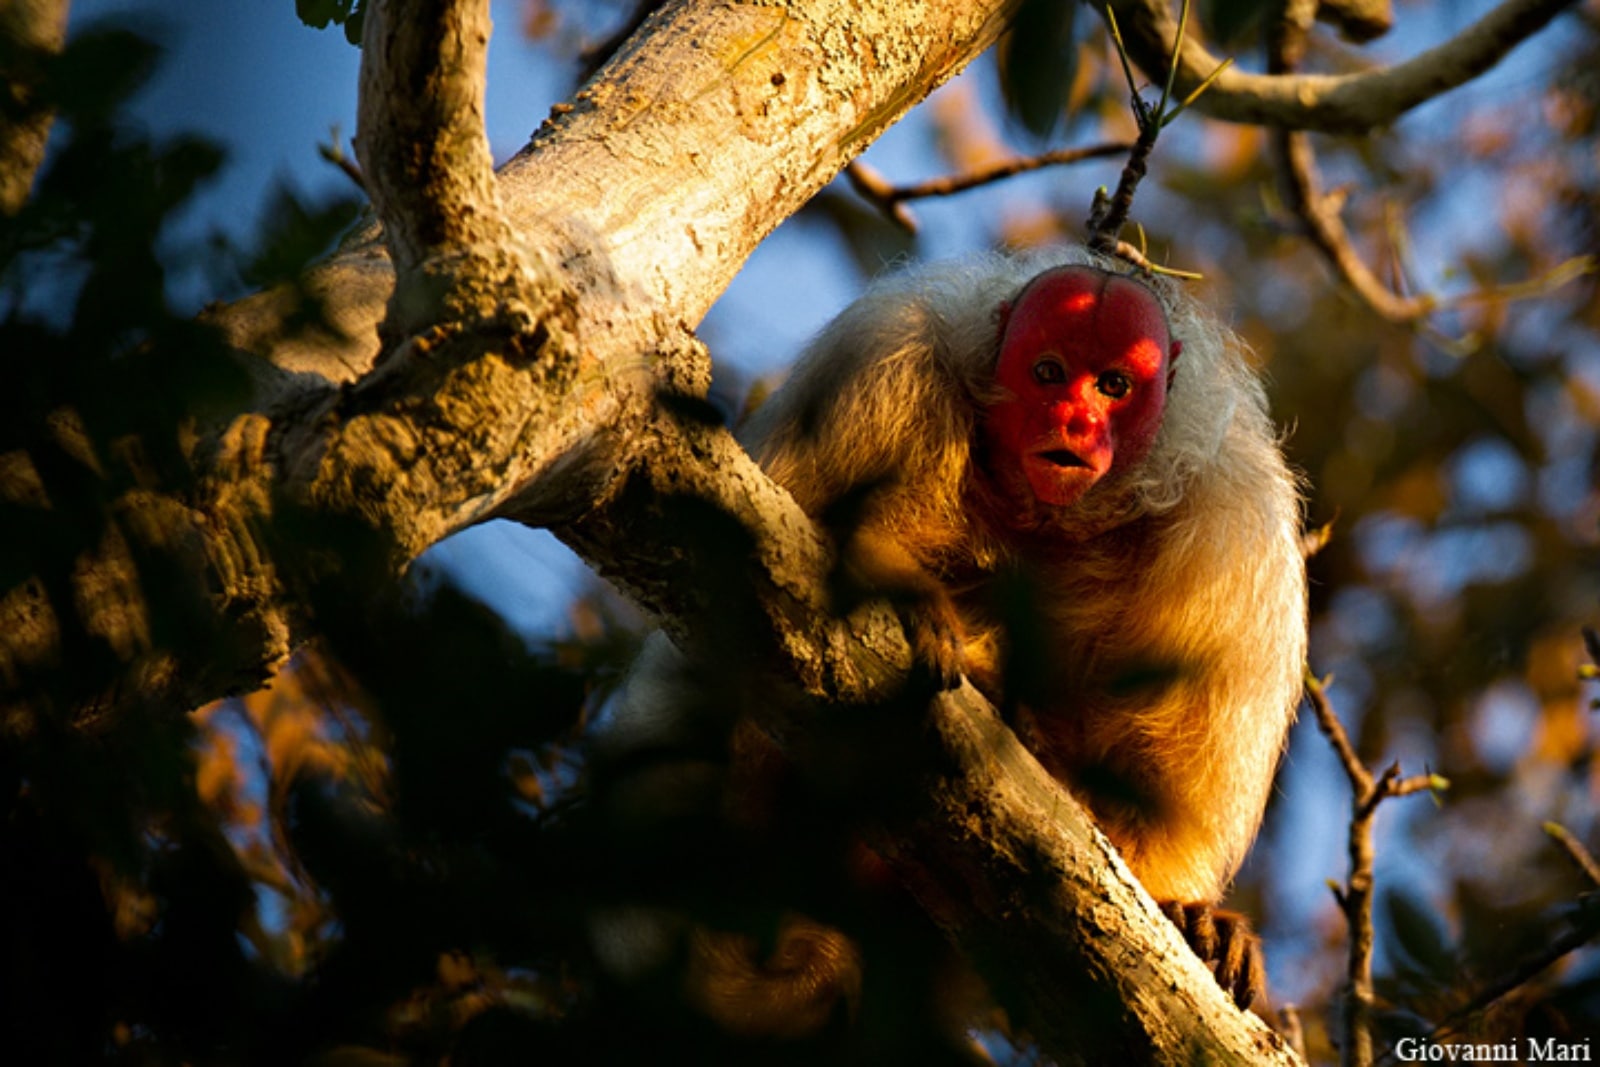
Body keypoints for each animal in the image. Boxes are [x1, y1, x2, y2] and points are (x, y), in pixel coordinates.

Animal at [595, 249, 1306, 1039]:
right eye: (1050, 372)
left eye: (1115, 385)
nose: (1077, 419)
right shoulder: (879, 362)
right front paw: (905, 599)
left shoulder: (1235, 528)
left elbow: (1165, 791)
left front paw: (1190, 918)